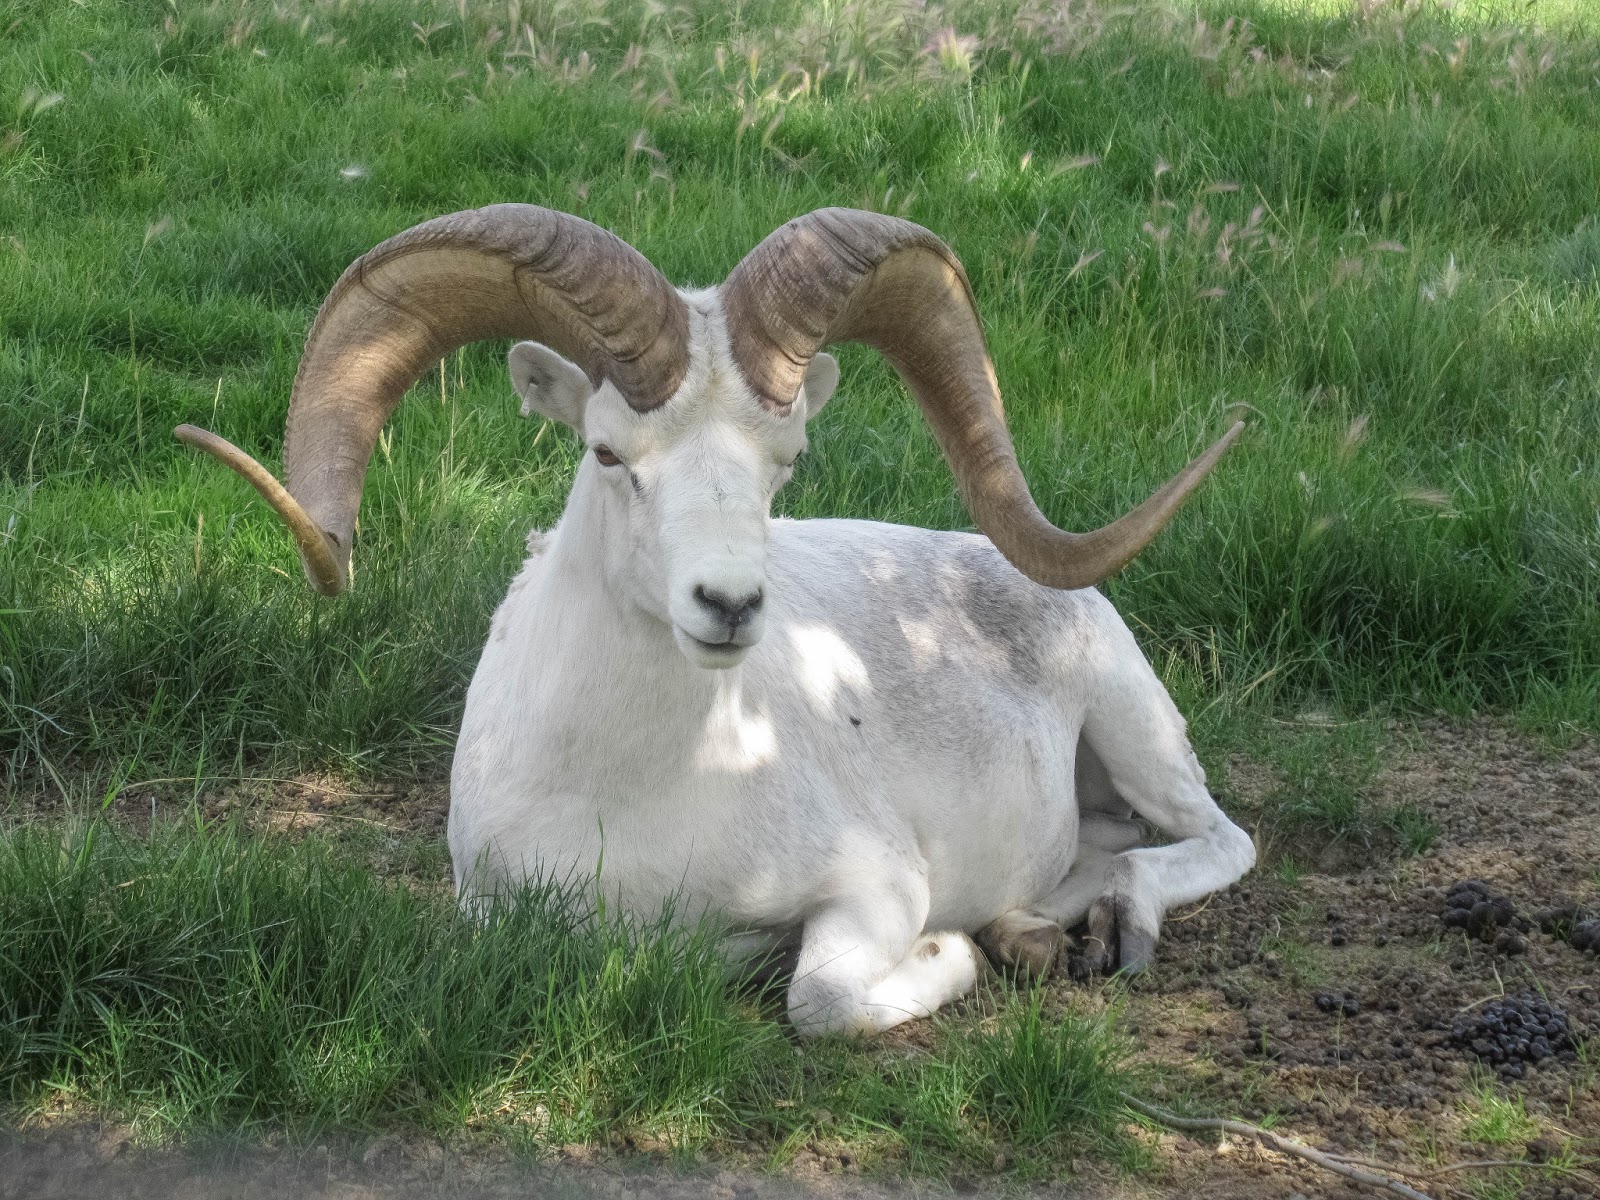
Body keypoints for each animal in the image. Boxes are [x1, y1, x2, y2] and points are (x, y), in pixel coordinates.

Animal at [176, 205, 1255, 1036]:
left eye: (785, 460)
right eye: (609, 452)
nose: (729, 606)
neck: (635, 795)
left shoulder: (874, 888)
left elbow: (820, 1002)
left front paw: (952, 948)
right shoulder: (498, 914)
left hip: (1134, 730)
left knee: (1217, 840)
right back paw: (1031, 930)